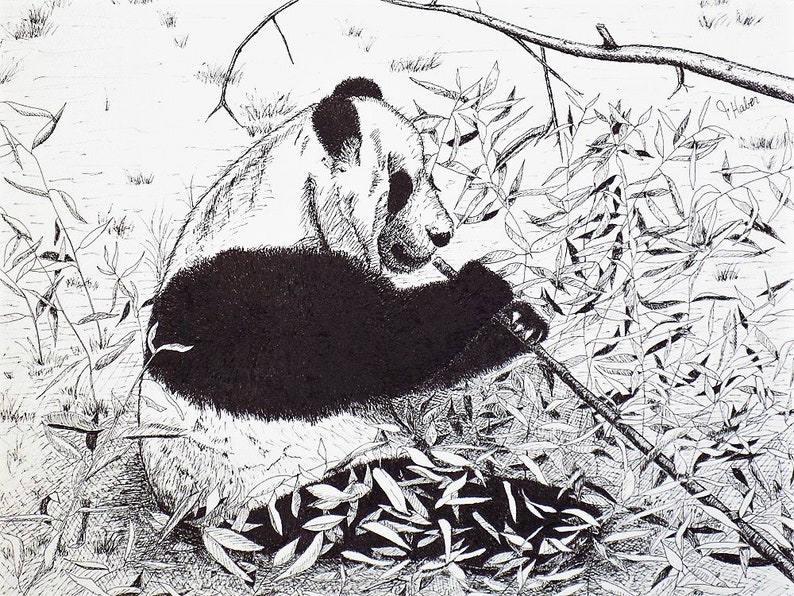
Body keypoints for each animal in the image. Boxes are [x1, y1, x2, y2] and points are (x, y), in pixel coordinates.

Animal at [139, 78, 597, 569]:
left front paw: (522, 322)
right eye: (401, 186)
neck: (296, 200)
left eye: (431, 175)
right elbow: (373, 350)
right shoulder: (255, 283)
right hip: (303, 488)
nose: (442, 235)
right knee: (424, 505)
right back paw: (554, 520)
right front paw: (482, 285)